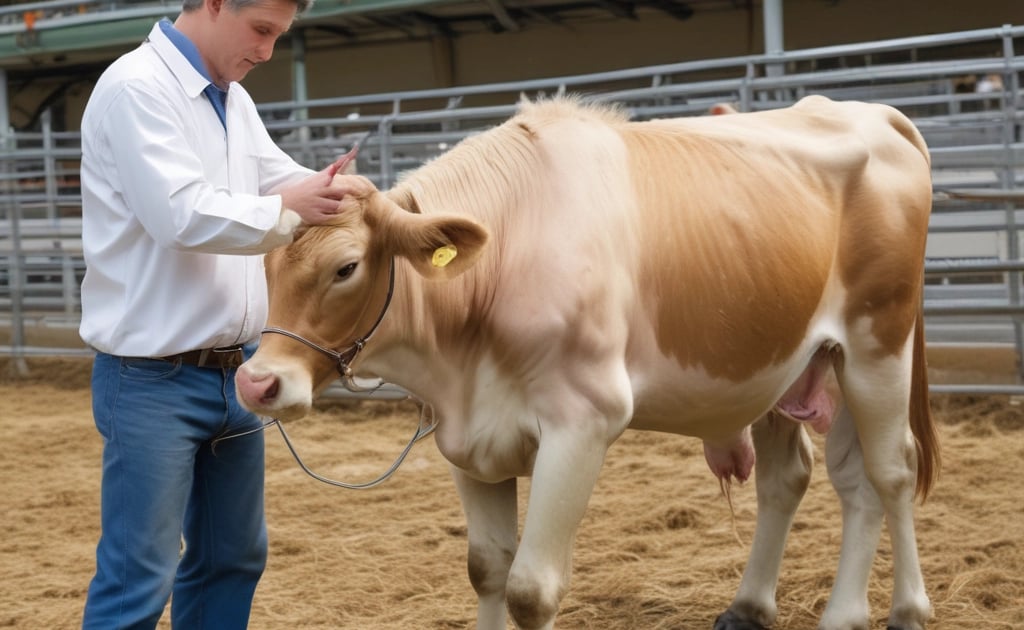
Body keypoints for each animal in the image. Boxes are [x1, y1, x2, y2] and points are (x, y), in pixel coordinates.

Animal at [236, 95, 940, 630]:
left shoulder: (583, 425)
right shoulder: (463, 436)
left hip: (878, 343)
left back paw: (904, 609)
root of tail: (873, 112)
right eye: (264, 265)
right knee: (807, 477)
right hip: (788, 362)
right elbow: (487, 571)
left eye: (346, 268)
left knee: (890, 470)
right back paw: (779, 609)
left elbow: (530, 589)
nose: (257, 382)